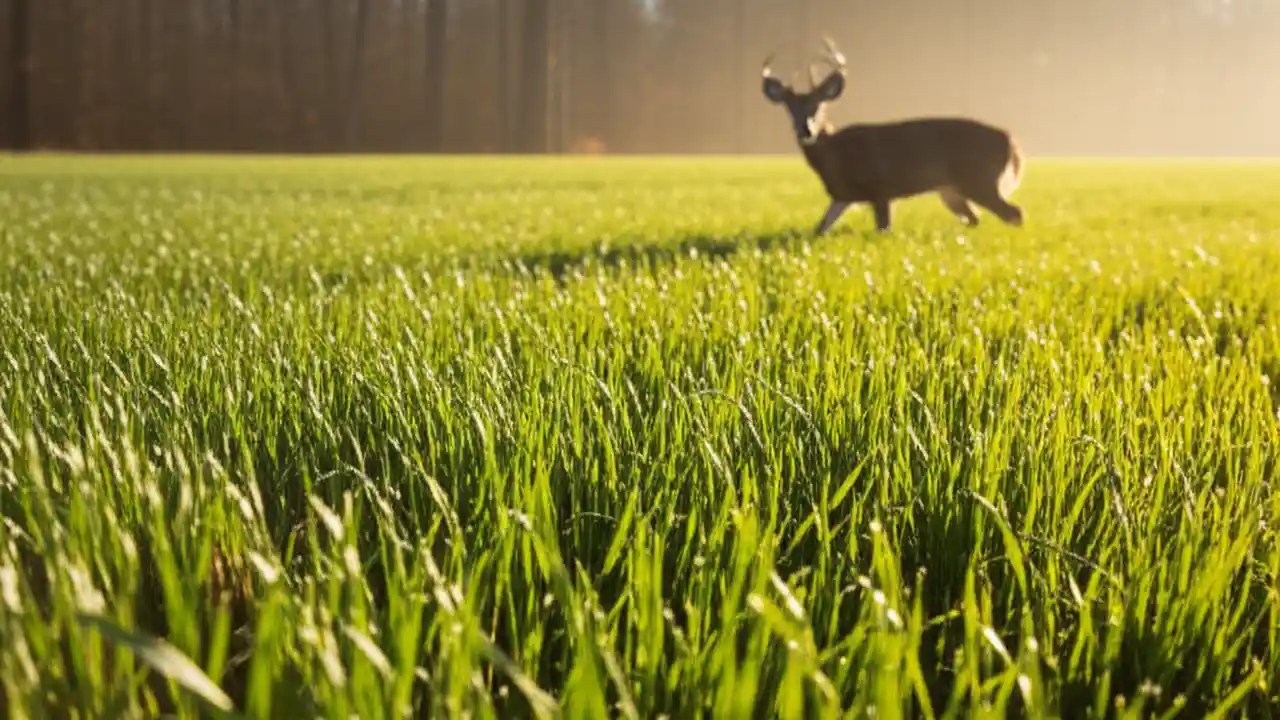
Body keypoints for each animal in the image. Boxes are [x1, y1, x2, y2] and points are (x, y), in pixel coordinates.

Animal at [762, 38, 1026, 235]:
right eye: (789, 108)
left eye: (819, 106)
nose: (805, 130)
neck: (836, 156)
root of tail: (1011, 141)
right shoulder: (842, 196)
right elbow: (819, 229)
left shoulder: (880, 189)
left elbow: (883, 229)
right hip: (952, 191)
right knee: (976, 218)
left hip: (979, 179)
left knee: (1015, 213)